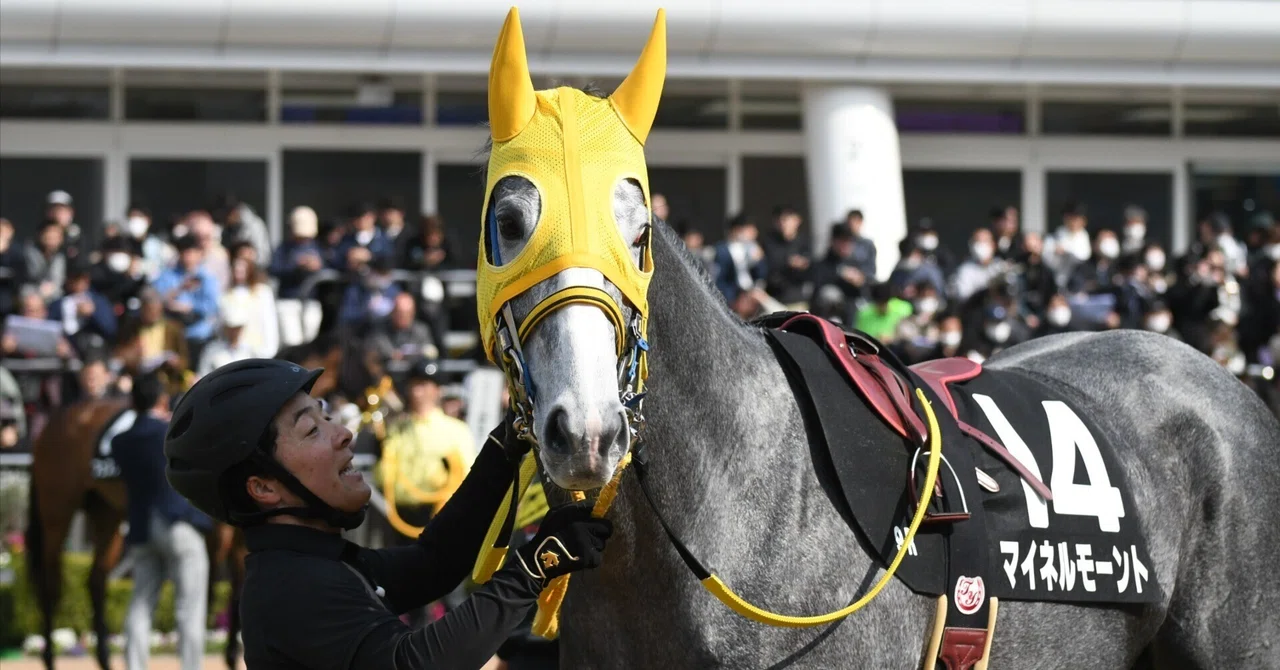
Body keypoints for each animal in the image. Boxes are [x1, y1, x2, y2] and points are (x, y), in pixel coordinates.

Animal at [24, 396, 248, 670]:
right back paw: (50, 658)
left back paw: (105, 658)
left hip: (105, 513)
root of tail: (54, 421)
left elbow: (239, 586)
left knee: (96, 580)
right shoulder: (217, 532)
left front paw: (233, 654)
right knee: (50, 583)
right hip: (57, 513)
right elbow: (212, 587)